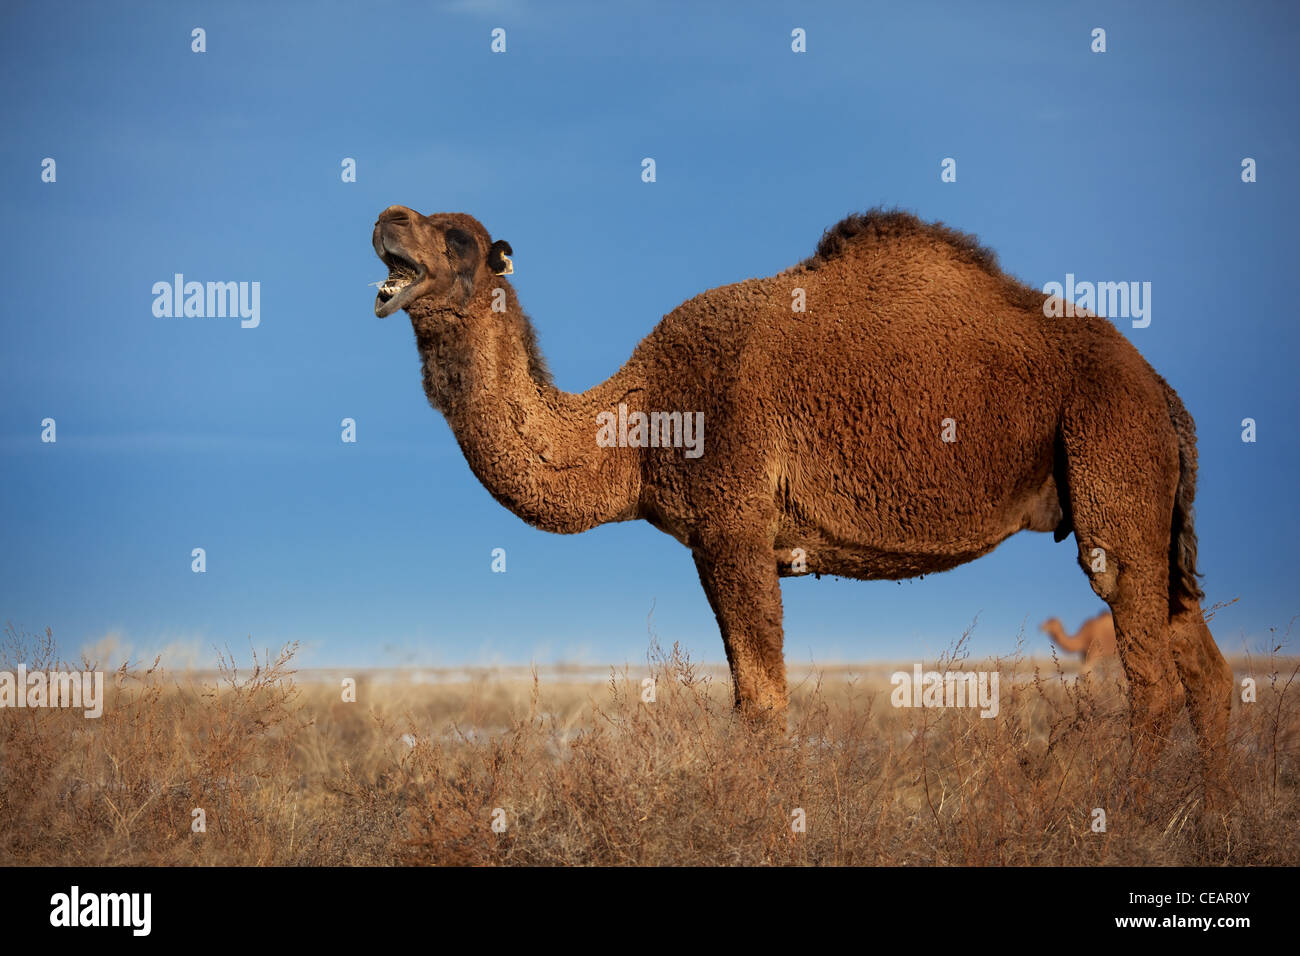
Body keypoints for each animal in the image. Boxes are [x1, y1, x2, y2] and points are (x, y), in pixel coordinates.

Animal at [369, 205, 1232, 800]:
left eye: (460, 241)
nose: (389, 217)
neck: (639, 424)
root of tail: (1162, 391)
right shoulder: (719, 539)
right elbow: (753, 696)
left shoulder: (734, 524)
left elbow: (761, 702)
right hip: (1153, 503)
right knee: (1205, 665)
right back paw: (1213, 820)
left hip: (1111, 455)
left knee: (1150, 671)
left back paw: (1133, 817)